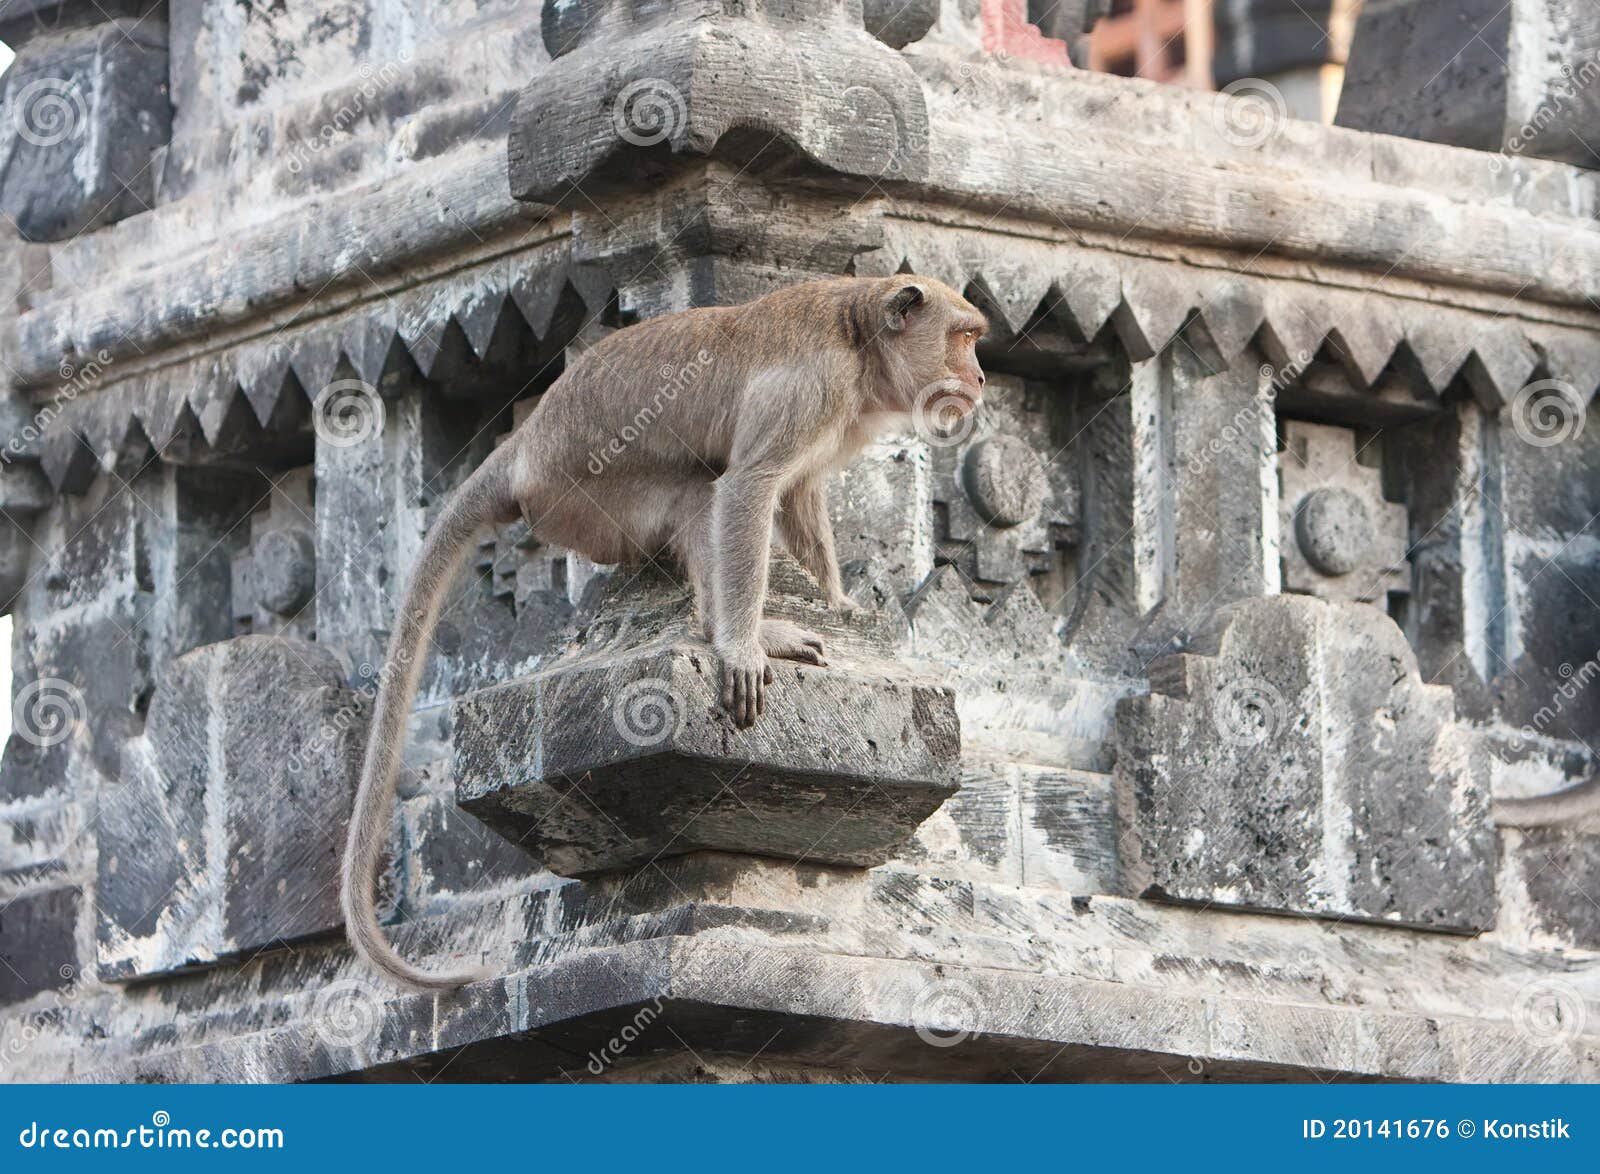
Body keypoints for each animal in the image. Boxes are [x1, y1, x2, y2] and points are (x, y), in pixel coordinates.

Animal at [342, 275, 990, 990]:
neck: (859, 341)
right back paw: (726, 627)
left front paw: (839, 602)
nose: (981, 376)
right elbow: (750, 487)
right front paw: (740, 648)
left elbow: (799, 496)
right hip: (588, 498)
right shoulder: (811, 390)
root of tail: (526, 443)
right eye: (964, 336)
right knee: (697, 489)